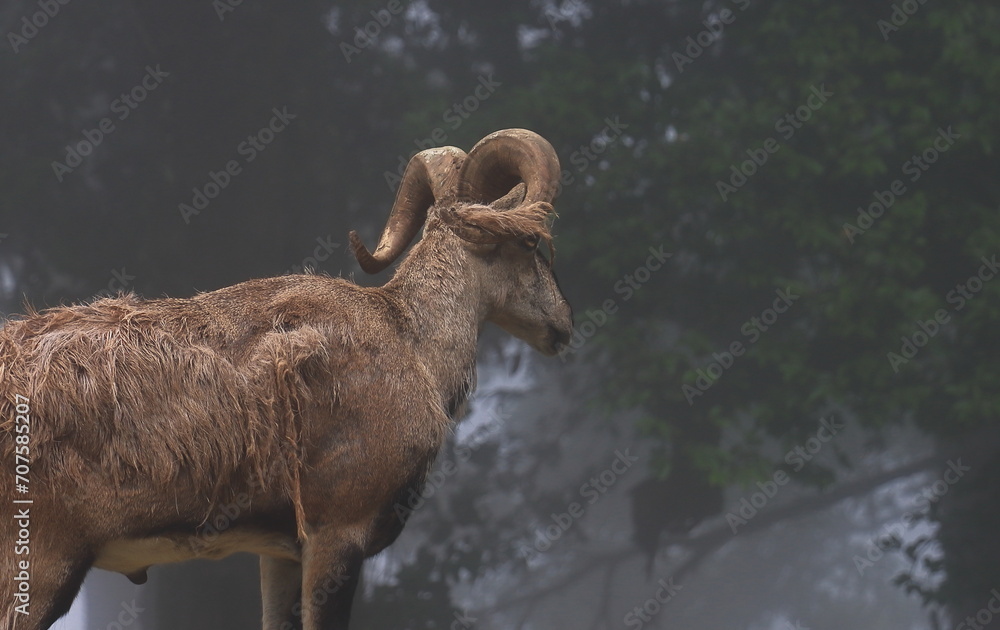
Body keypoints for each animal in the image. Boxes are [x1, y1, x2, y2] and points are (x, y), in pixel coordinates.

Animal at [0, 128, 573, 630]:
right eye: (529, 242)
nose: (563, 325)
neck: (409, 339)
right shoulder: (336, 536)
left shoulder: (280, 553)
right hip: (40, 567)